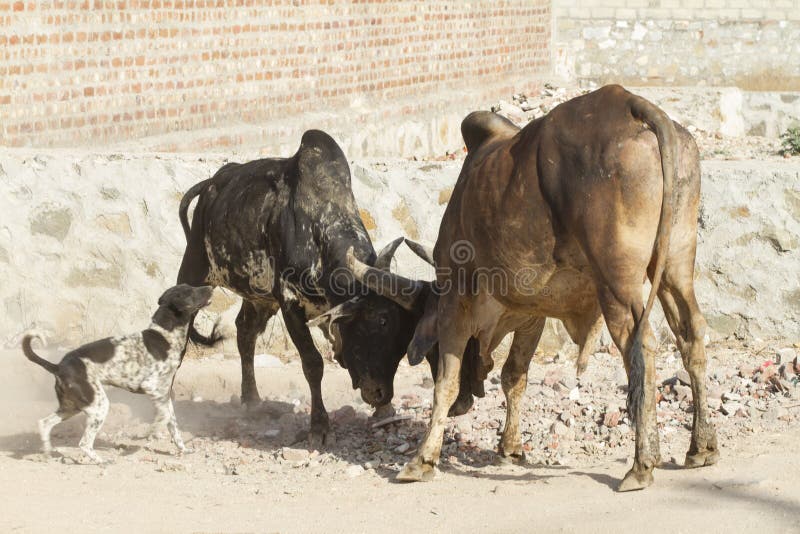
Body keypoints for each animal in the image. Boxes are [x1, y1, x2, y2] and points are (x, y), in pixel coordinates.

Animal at [176, 130, 424, 447]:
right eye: (380, 320)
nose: (381, 394)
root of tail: (212, 183)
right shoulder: (289, 303)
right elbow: (312, 364)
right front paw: (319, 426)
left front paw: (385, 413)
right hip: (193, 270)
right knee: (179, 337)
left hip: (259, 297)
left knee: (245, 333)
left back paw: (252, 400)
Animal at [346, 85, 718, 491]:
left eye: (429, 351)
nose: (464, 407)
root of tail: (631, 105)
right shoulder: (532, 315)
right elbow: (514, 376)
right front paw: (510, 447)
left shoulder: (456, 301)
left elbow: (445, 381)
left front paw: (422, 460)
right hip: (674, 264)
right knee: (690, 334)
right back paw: (701, 448)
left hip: (617, 280)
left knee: (641, 346)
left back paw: (641, 464)